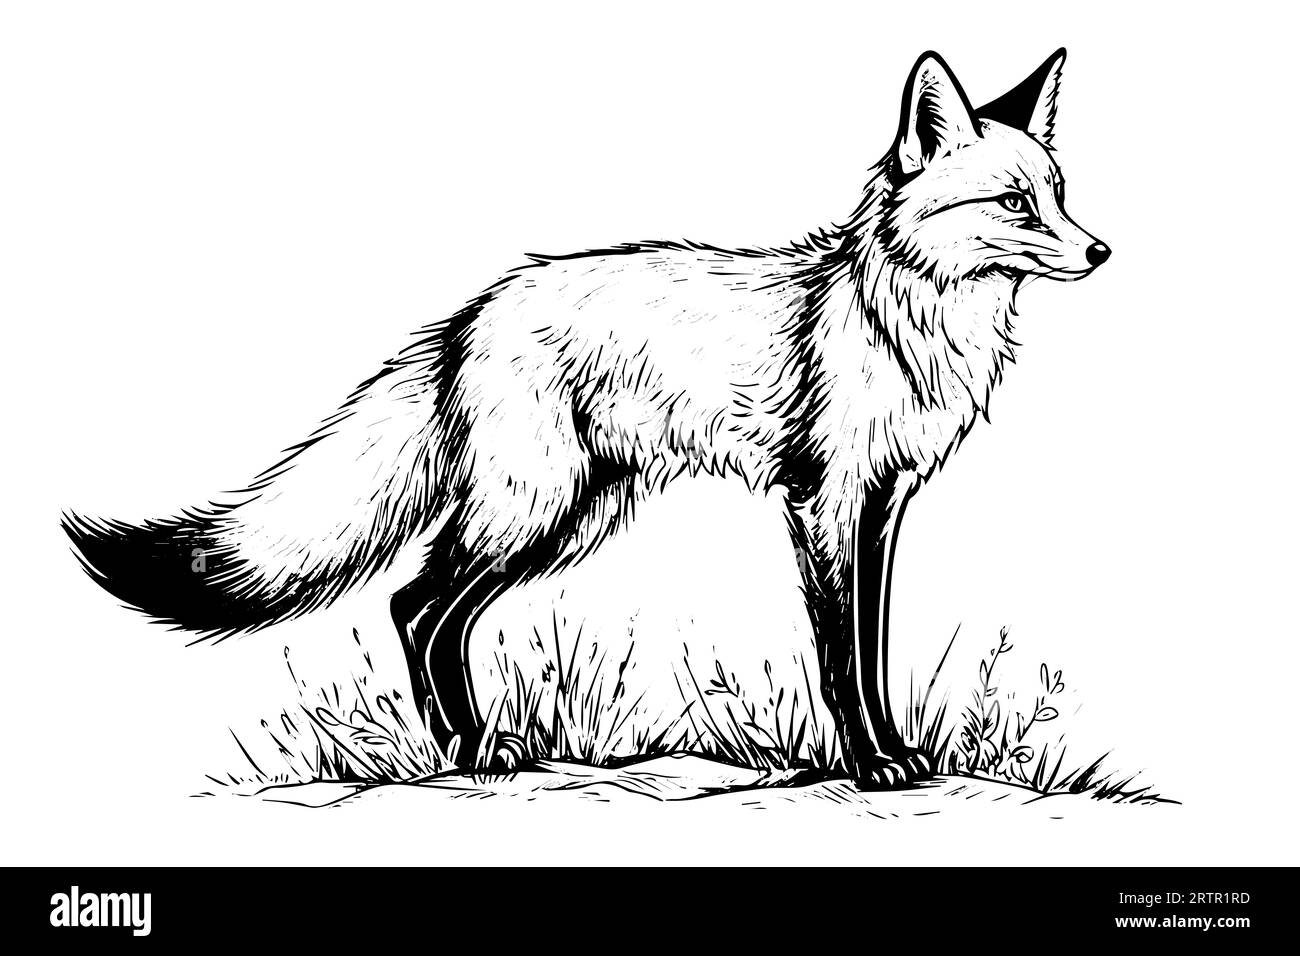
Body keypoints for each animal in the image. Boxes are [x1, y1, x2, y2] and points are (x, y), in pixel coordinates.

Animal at [64, 49, 1108, 789]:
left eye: (1059, 196)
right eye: (1015, 204)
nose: (1101, 251)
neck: (907, 326)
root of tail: (472, 311)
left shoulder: (883, 508)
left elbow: (875, 653)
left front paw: (895, 752)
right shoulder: (822, 505)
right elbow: (838, 659)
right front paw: (868, 764)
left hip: (571, 519)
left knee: (432, 612)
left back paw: (466, 744)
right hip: (531, 510)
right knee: (413, 604)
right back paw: (470, 748)